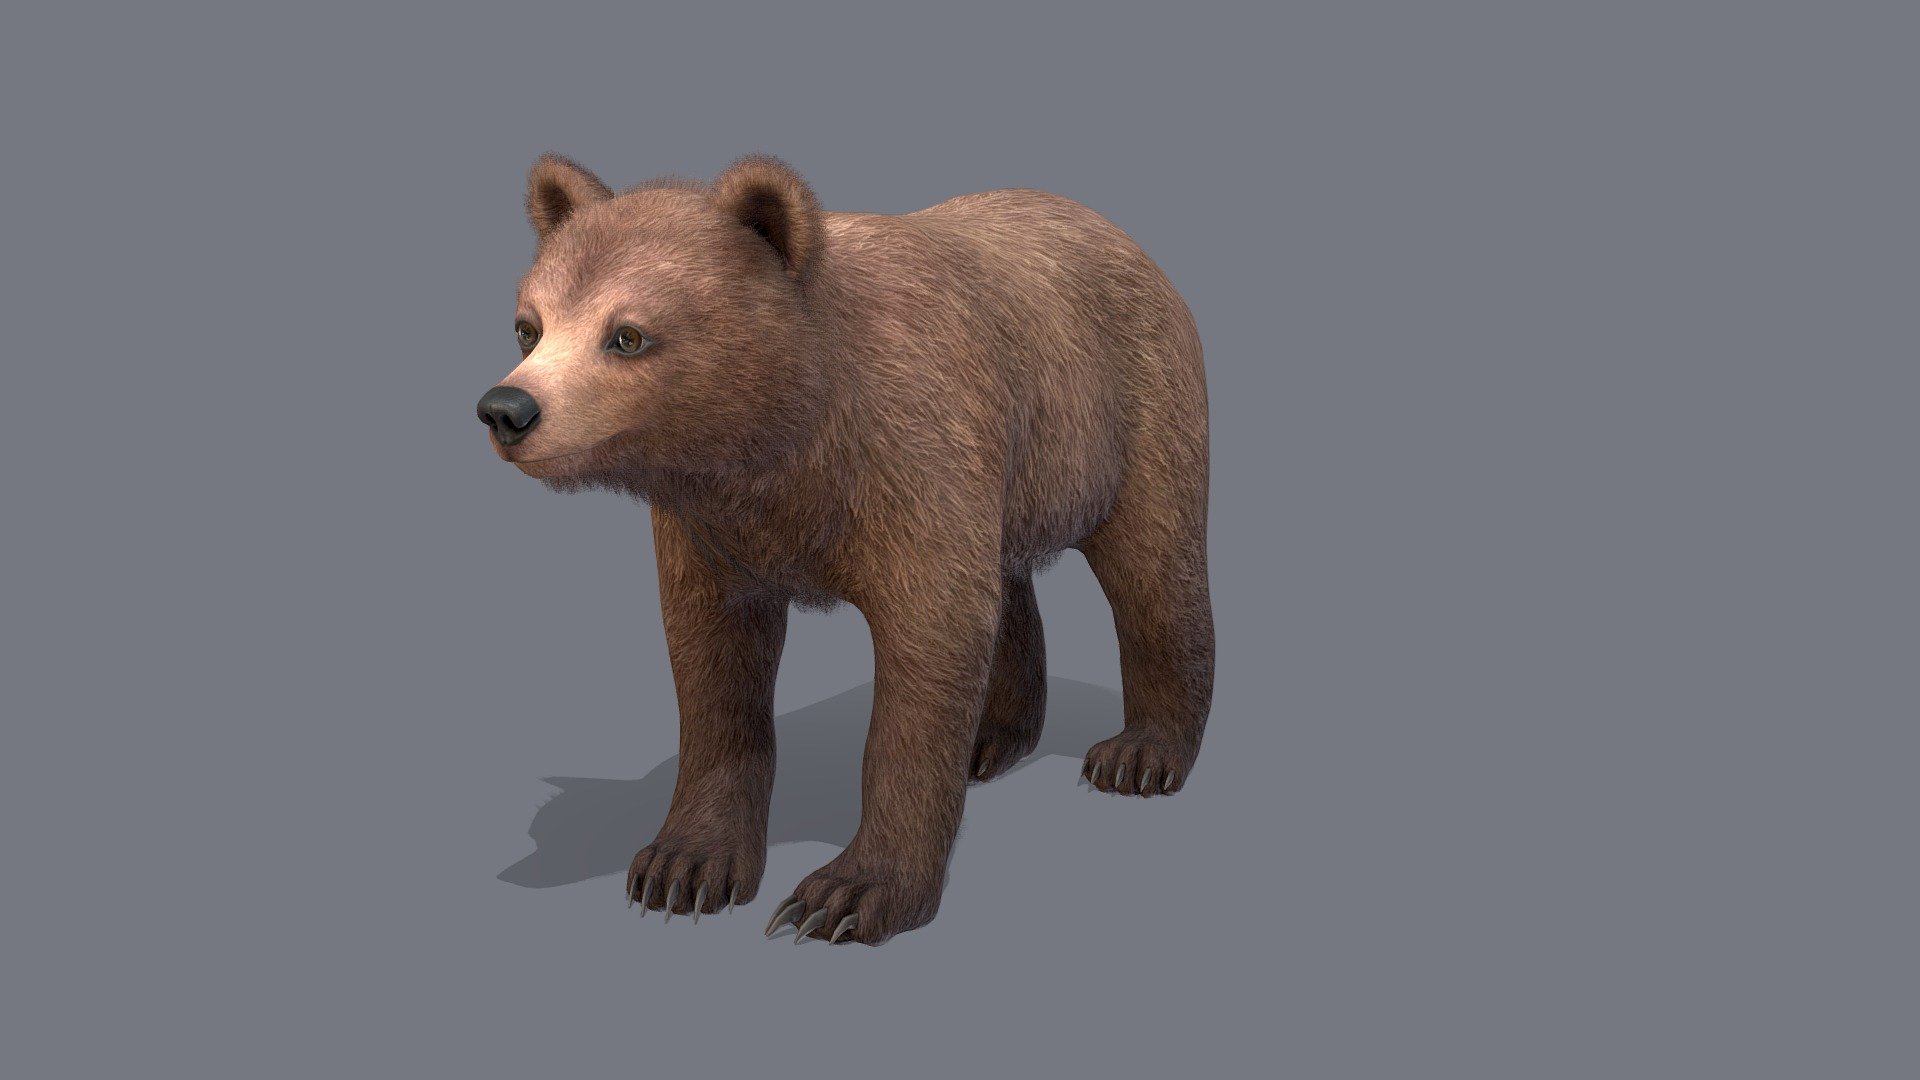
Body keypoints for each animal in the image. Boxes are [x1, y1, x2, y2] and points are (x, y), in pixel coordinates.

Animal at [476, 153, 1214, 945]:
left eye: (627, 335)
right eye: (528, 327)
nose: (507, 409)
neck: (784, 442)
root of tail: (1113, 230)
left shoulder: (910, 456)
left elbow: (928, 647)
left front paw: (847, 893)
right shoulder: (710, 527)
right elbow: (714, 665)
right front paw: (684, 865)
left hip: (1124, 410)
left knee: (1153, 569)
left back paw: (1140, 753)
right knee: (1007, 579)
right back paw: (992, 736)